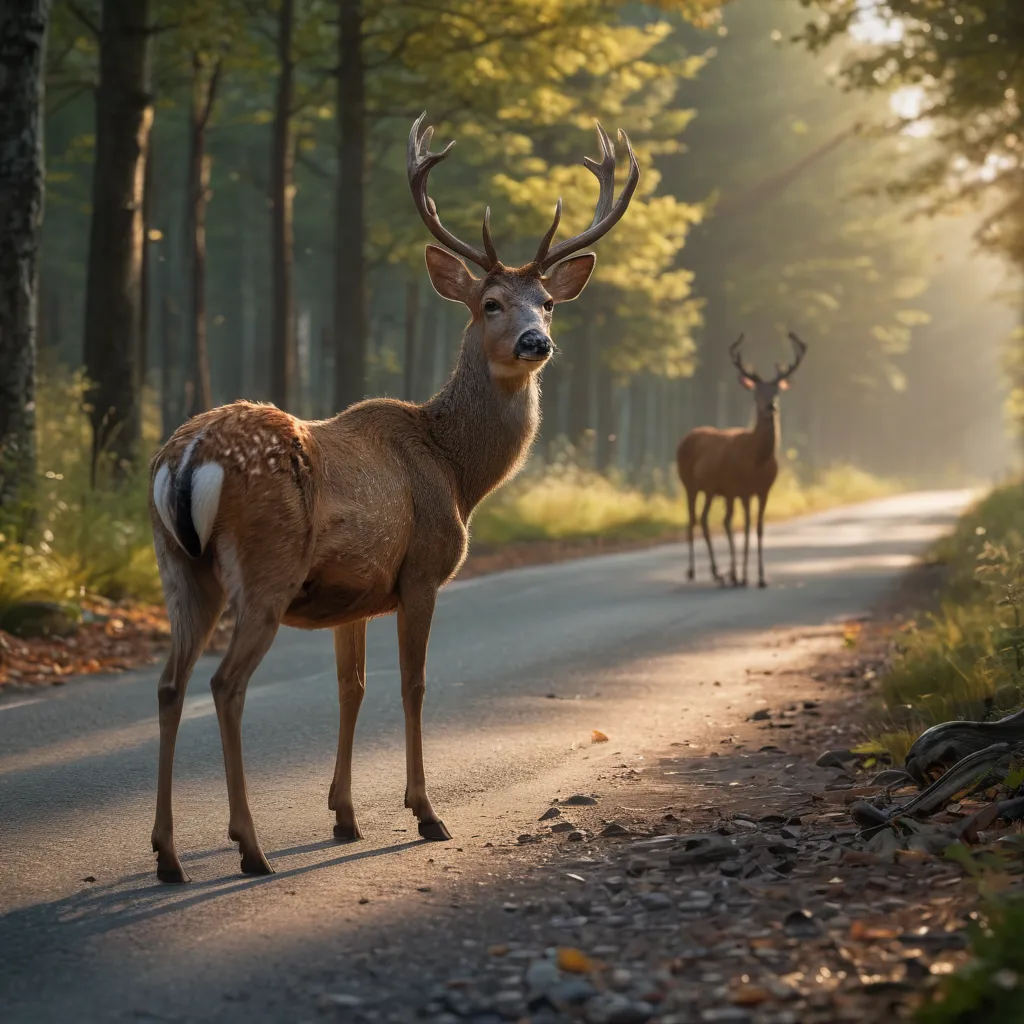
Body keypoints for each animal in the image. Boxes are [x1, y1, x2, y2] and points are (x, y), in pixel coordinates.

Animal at [146, 114, 640, 883]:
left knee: (170, 685)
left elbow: (351, 689)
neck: (457, 472)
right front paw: (425, 812)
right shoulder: (422, 569)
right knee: (224, 685)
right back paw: (250, 847)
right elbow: (413, 684)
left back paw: (168, 855)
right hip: (264, 566)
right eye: (490, 304)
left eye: (550, 303)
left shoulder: (353, 592)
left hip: (180, 566)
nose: (537, 342)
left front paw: (344, 816)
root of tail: (189, 456)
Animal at [676, 332, 807, 589]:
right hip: (689, 483)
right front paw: (744, 576)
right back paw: (694, 571)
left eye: (776, 391)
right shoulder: (741, 489)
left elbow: (758, 528)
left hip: (711, 489)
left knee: (705, 519)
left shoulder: (763, 490)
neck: (757, 460)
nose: (770, 407)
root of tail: (686, 436)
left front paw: (760, 577)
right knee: (692, 520)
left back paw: (719, 572)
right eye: (756, 393)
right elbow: (744, 527)